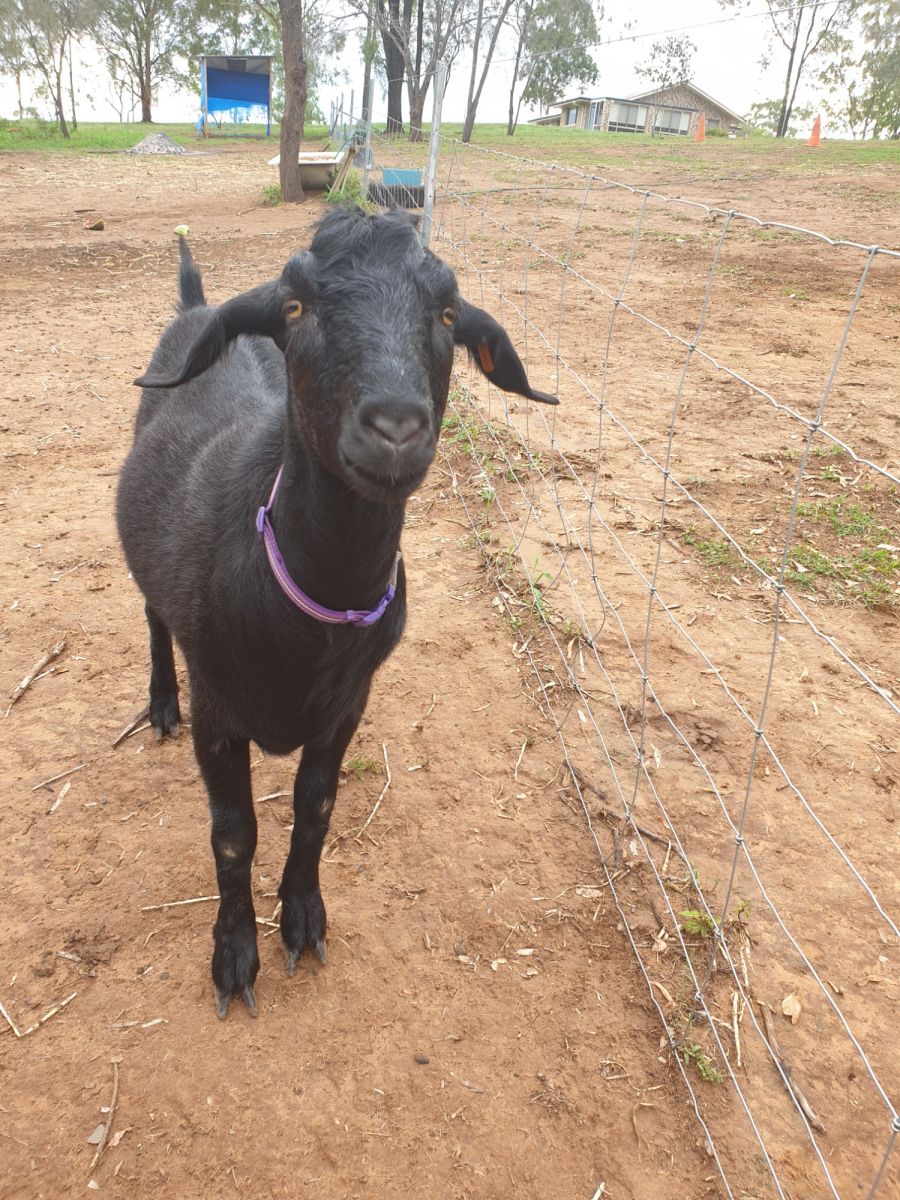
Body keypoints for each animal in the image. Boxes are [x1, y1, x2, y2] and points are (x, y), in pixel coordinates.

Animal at [116, 208, 556, 1019]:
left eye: (449, 314)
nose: (396, 428)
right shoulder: (219, 708)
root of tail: (198, 307)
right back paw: (160, 703)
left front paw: (302, 918)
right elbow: (234, 834)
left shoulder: (348, 704)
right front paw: (234, 955)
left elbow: (315, 808)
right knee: (154, 617)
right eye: (295, 307)